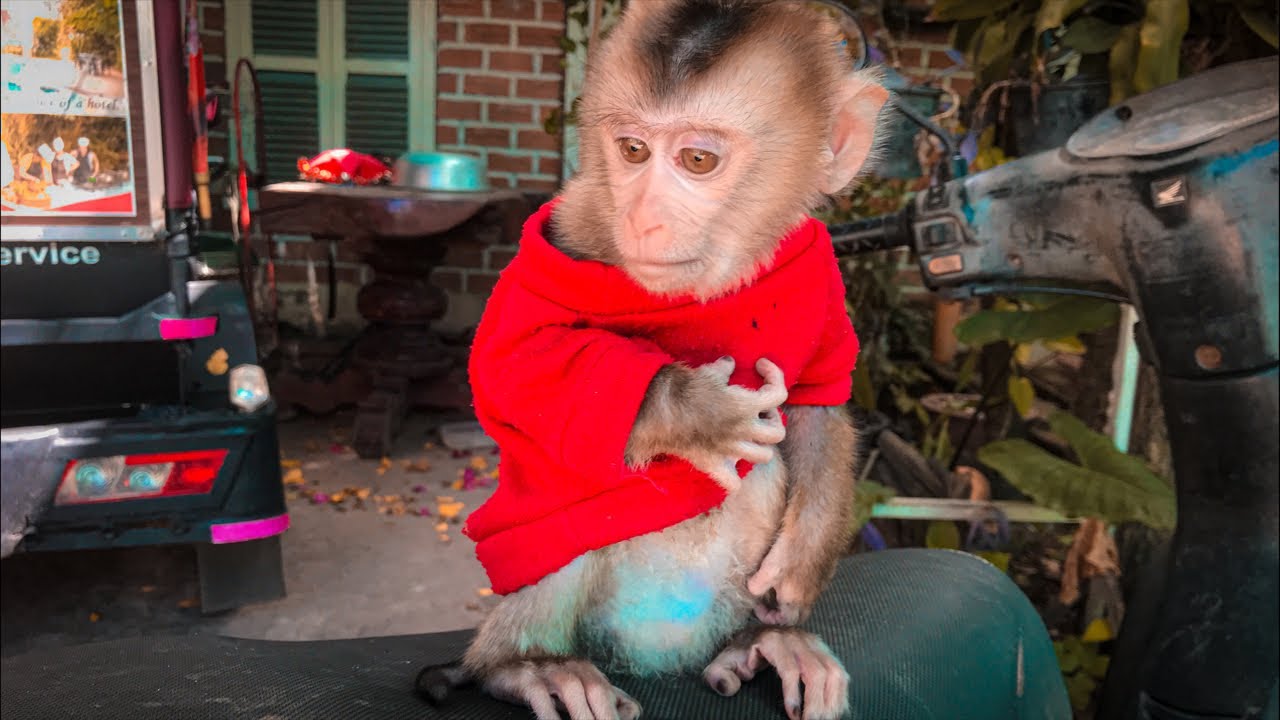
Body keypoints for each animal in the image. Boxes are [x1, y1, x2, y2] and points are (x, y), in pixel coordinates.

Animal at [421, 2, 891, 719]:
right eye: (633, 151)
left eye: (697, 159)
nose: (642, 219)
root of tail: (657, 656)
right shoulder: (570, 233)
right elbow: (510, 365)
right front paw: (694, 412)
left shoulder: (816, 267)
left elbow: (817, 401)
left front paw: (804, 561)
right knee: (563, 535)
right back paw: (528, 667)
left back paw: (762, 645)